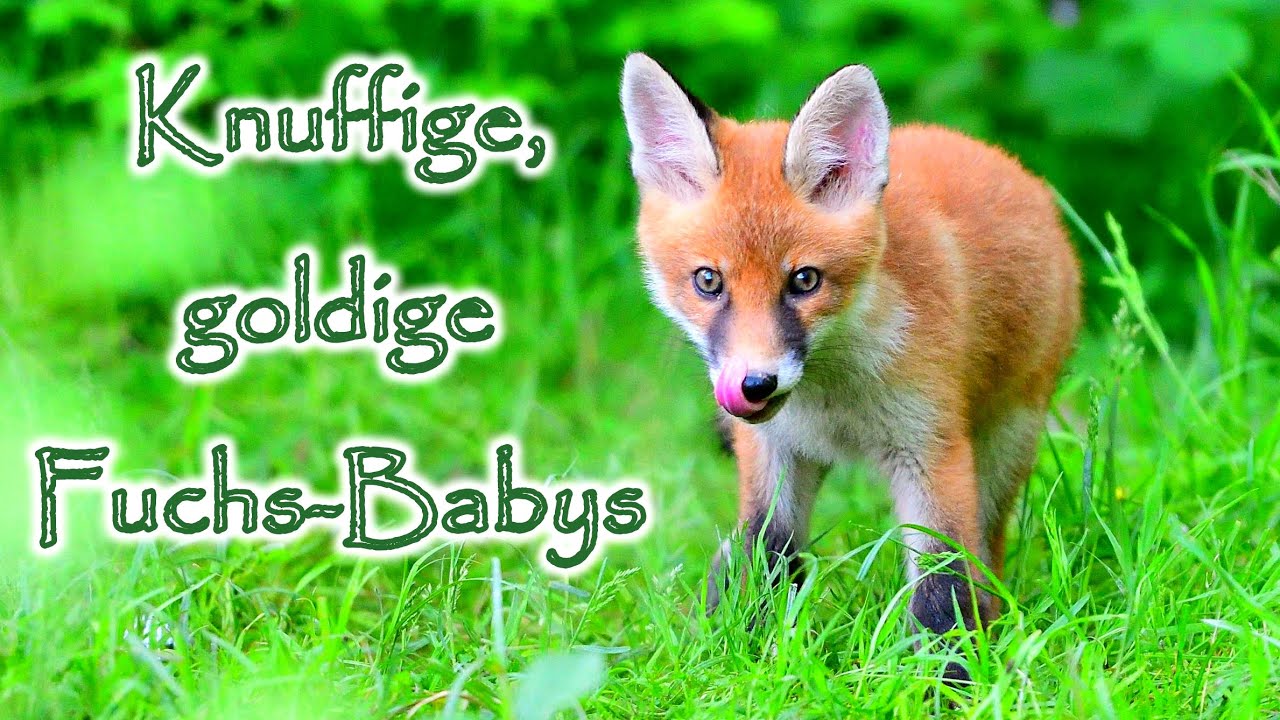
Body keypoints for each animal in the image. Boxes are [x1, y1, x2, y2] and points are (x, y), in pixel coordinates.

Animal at [620, 53, 1081, 675]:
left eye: (804, 281)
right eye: (708, 281)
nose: (754, 384)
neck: (834, 402)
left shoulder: (931, 451)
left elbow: (942, 589)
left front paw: (945, 684)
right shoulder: (775, 454)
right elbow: (759, 554)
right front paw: (732, 657)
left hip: (1006, 442)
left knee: (989, 556)